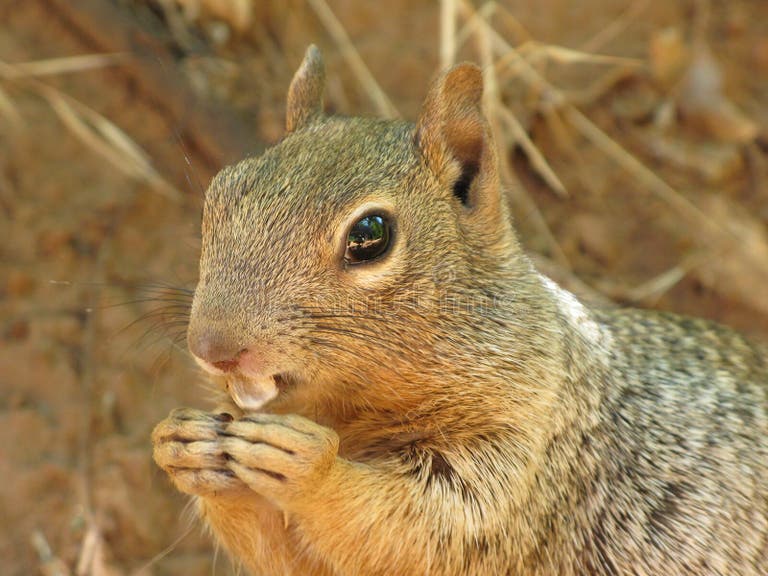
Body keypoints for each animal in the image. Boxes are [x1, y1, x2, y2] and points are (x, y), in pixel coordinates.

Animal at [152, 45, 768, 575]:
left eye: (371, 235)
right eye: (219, 192)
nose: (212, 348)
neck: (349, 415)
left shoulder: (521, 464)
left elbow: (415, 530)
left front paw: (311, 470)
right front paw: (182, 447)